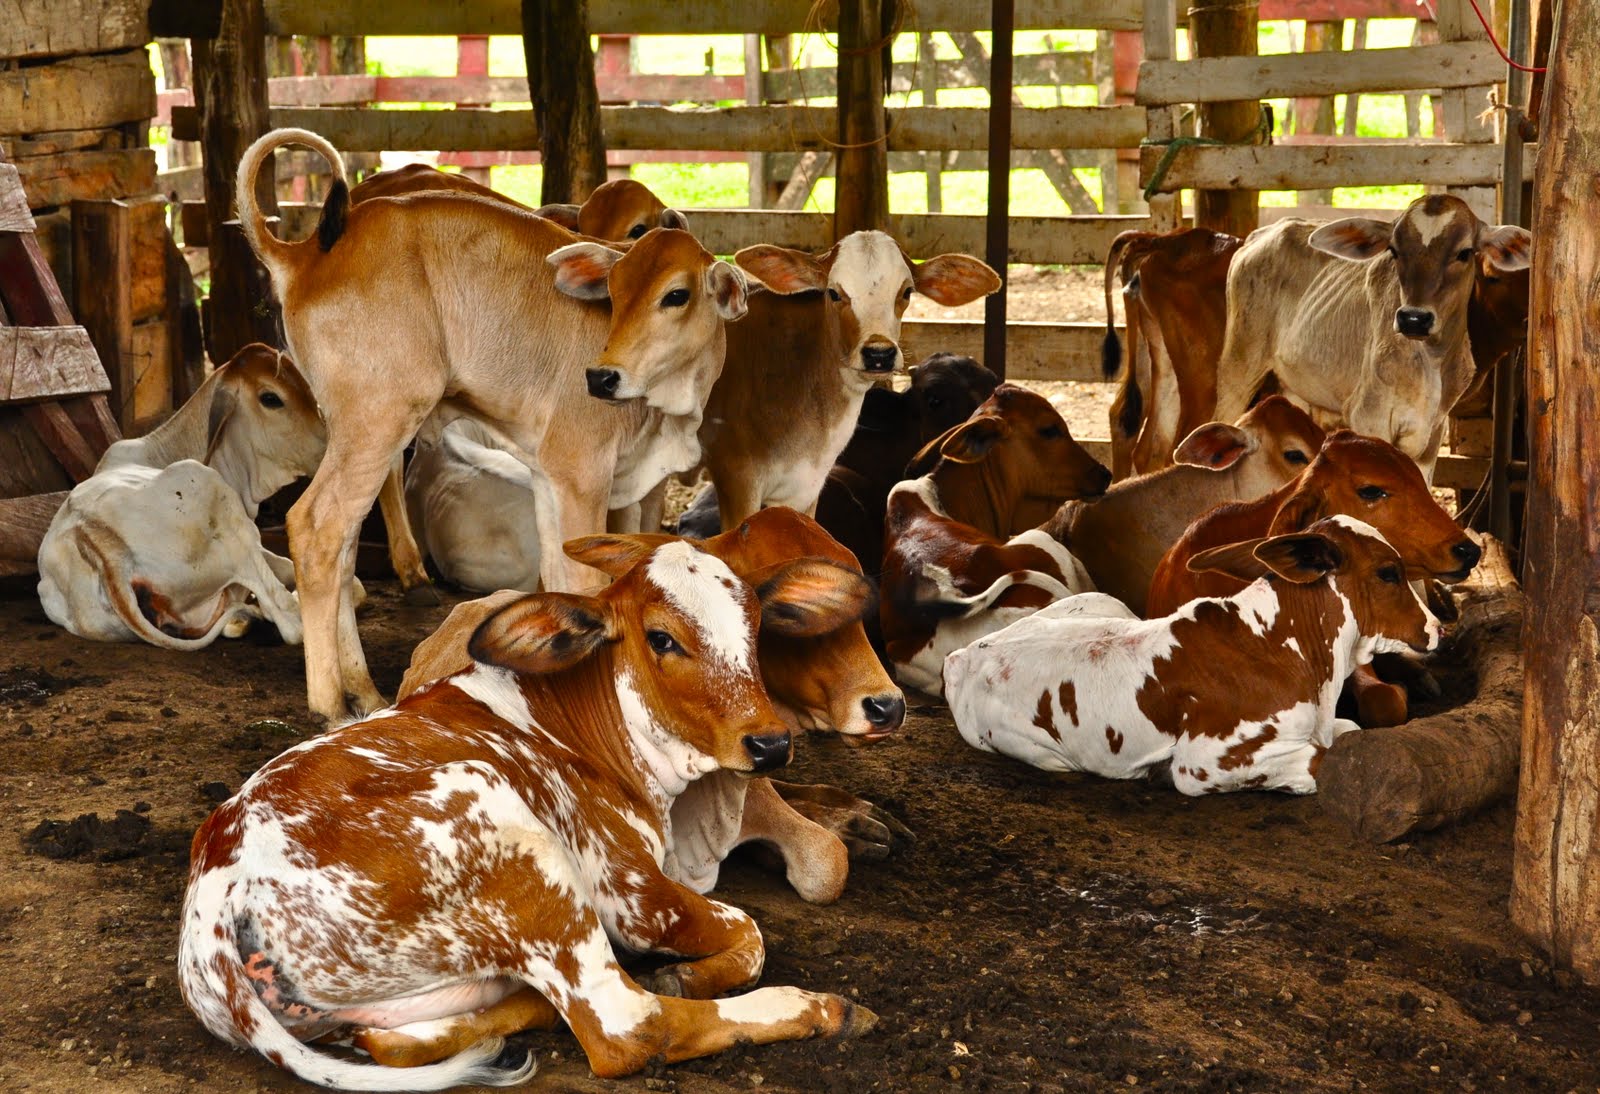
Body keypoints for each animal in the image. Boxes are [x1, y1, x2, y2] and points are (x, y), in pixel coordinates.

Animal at [179, 538, 876, 1089]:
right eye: (662, 638)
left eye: (756, 632)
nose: (770, 742)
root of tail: (218, 886)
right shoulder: (633, 893)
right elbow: (750, 935)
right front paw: (693, 974)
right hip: (518, 845)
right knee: (627, 1025)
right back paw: (820, 1009)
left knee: (395, 1041)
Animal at [234, 128, 753, 720]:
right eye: (615, 293)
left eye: (676, 294)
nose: (601, 377)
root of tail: (307, 253)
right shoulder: (581, 477)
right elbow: (585, 584)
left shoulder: (569, 482)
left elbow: (565, 579)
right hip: (379, 418)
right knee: (316, 527)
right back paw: (330, 704)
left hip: (355, 429)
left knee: (343, 549)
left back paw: (364, 690)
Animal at [945, 517, 1441, 796]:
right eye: (1389, 573)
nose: (1437, 627)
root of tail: (963, 655)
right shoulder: (1203, 763)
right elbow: (1315, 763)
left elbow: (1351, 730)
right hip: (1046, 754)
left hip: (1105, 602)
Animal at [1212, 195, 1532, 480]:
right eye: (1394, 250)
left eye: (1464, 253)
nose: (1413, 318)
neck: (1430, 363)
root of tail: (1259, 234)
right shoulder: (1368, 416)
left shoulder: (1432, 433)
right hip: (1238, 366)